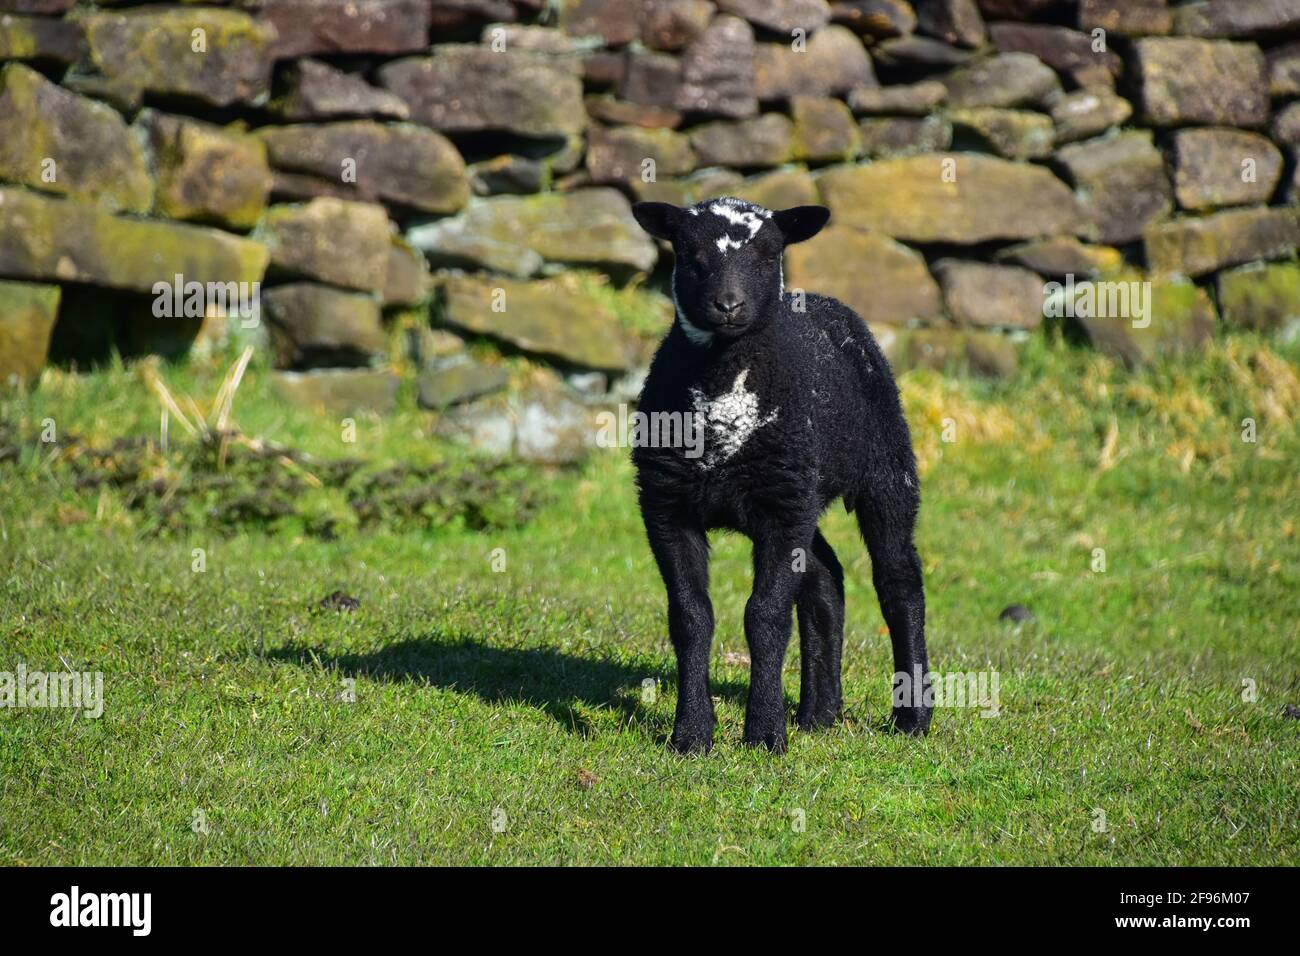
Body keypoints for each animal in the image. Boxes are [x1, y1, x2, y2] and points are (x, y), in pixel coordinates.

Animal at [630, 196, 931, 754]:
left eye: (769, 254)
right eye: (689, 253)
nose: (728, 305)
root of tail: (819, 300)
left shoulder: (781, 512)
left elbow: (765, 616)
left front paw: (765, 733)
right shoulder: (667, 504)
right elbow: (691, 617)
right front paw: (691, 735)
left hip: (884, 469)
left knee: (899, 581)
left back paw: (913, 718)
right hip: (801, 492)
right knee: (825, 580)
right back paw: (819, 713)